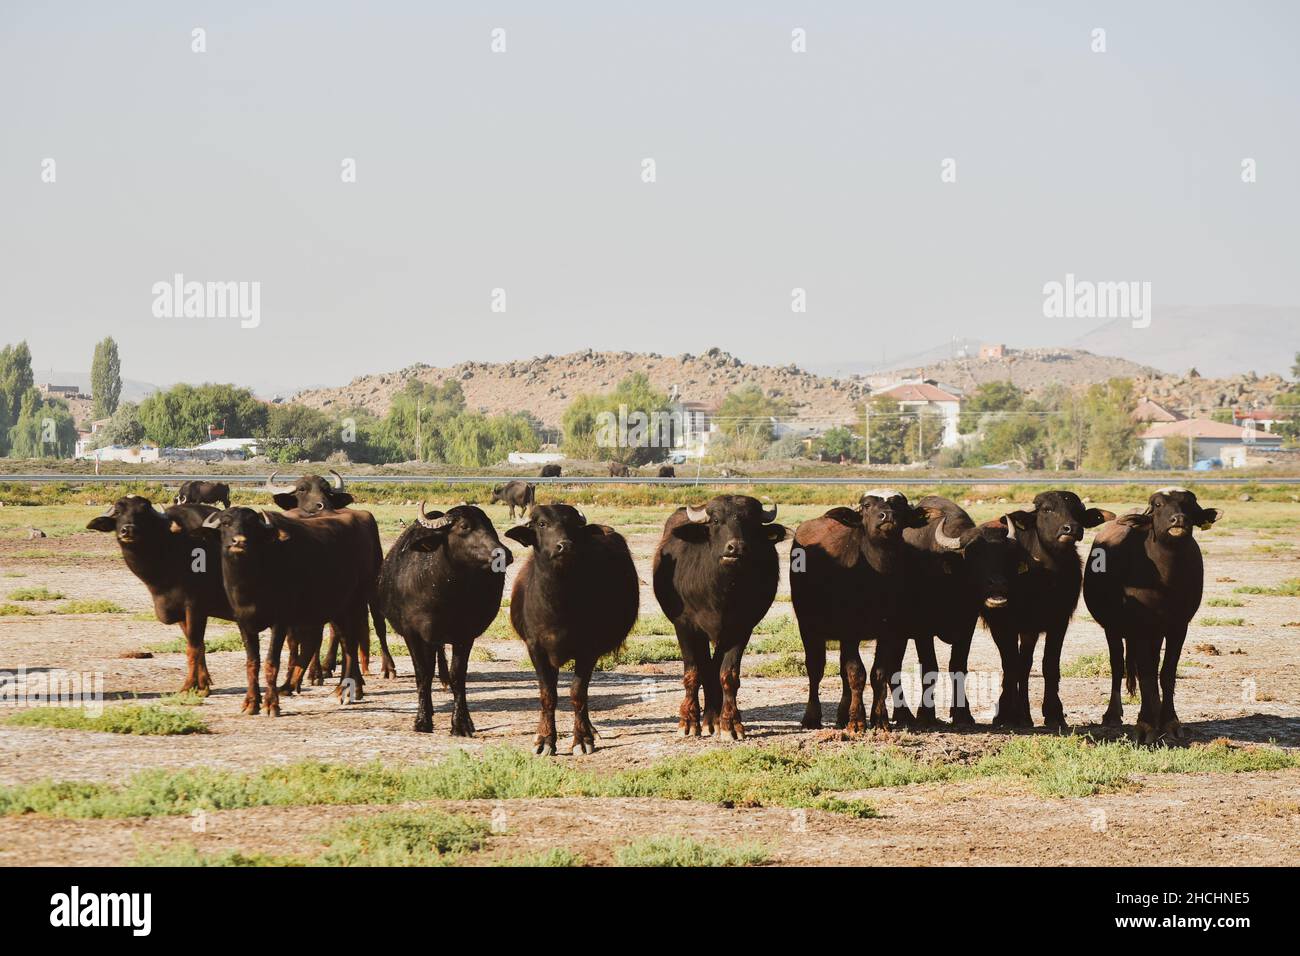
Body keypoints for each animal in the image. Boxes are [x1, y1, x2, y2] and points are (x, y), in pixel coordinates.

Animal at [379, 503, 511, 737]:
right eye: (464, 526)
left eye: (490, 526)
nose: (505, 554)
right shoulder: (413, 635)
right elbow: (422, 675)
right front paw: (422, 720)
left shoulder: (465, 636)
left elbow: (458, 676)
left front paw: (461, 723)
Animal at [506, 504, 639, 755]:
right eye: (542, 524)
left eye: (574, 525)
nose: (564, 545)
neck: (557, 606)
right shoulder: (535, 648)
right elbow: (547, 695)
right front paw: (544, 740)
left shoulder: (588, 650)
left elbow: (578, 693)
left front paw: (582, 739)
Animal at [654, 495, 786, 739]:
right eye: (716, 520)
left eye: (751, 522)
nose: (736, 547)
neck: (722, 591)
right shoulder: (685, 626)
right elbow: (693, 673)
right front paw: (688, 722)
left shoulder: (741, 628)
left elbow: (728, 675)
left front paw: (730, 724)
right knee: (705, 668)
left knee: (713, 669)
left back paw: (712, 718)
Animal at [1083, 487, 1220, 743]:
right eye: (1157, 505)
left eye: (1189, 503)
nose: (1178, 519)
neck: (1166, 578)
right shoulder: (1141, 627)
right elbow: (1146, 673)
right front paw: (1146, 725)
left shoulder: (1179, 626)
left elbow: (1166, 673)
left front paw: (1169, 722)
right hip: (1113, 629)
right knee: (1118, 666)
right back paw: (1113, 714)